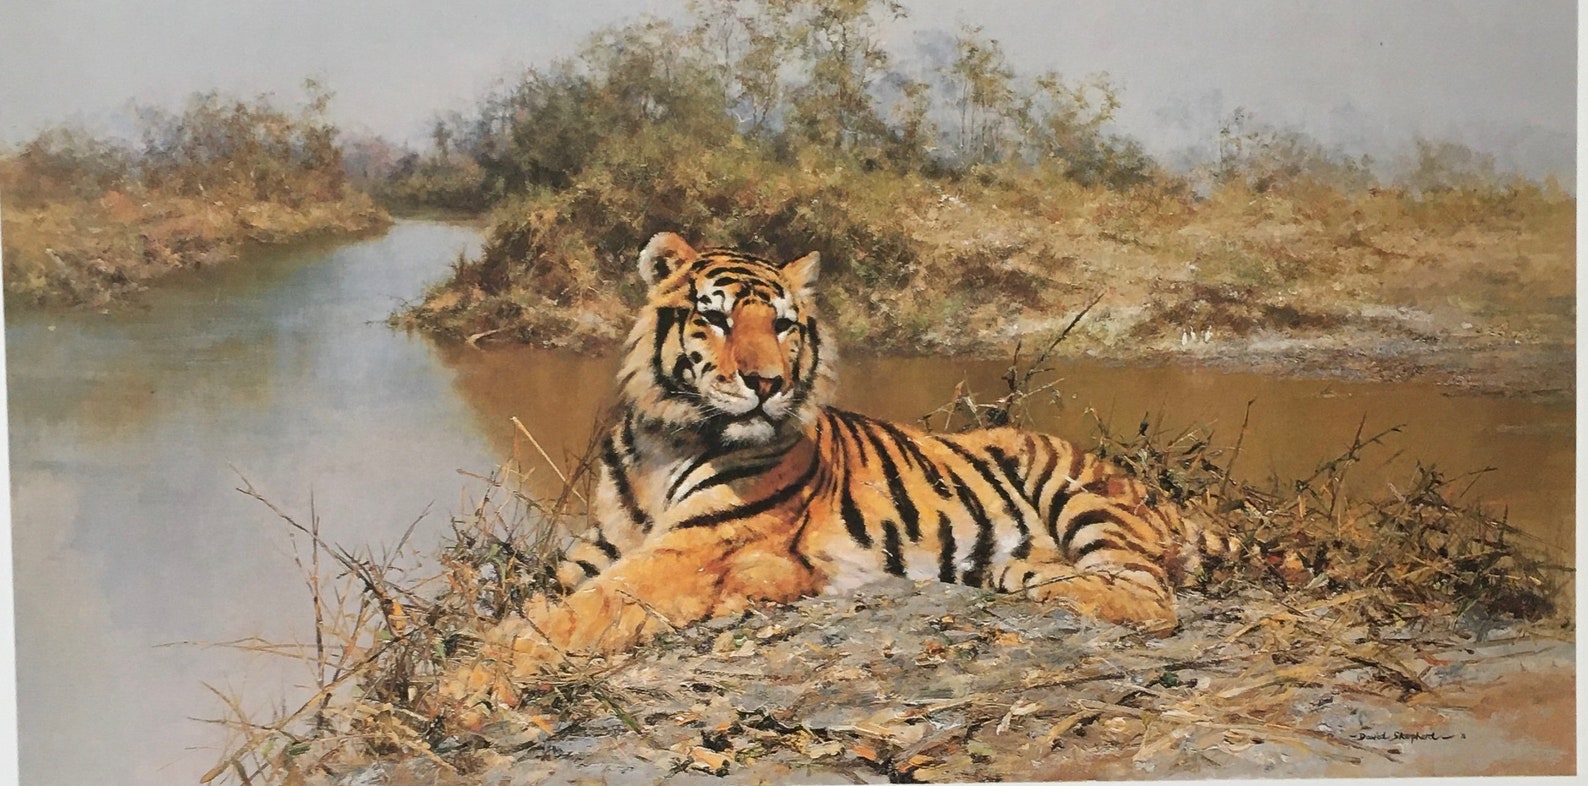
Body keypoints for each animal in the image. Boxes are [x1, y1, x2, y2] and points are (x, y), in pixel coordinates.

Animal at [436, 232, 1237, 724]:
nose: (765, 383)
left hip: (1072, 488)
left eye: (785, 325)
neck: (670, 432)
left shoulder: (688, 553)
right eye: (714, 320)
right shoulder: (602, 542)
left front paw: (460, 685)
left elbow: (571, 616)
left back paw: (1043, 589)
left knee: (1149, 596)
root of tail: (1162, 500)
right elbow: (538, 600)